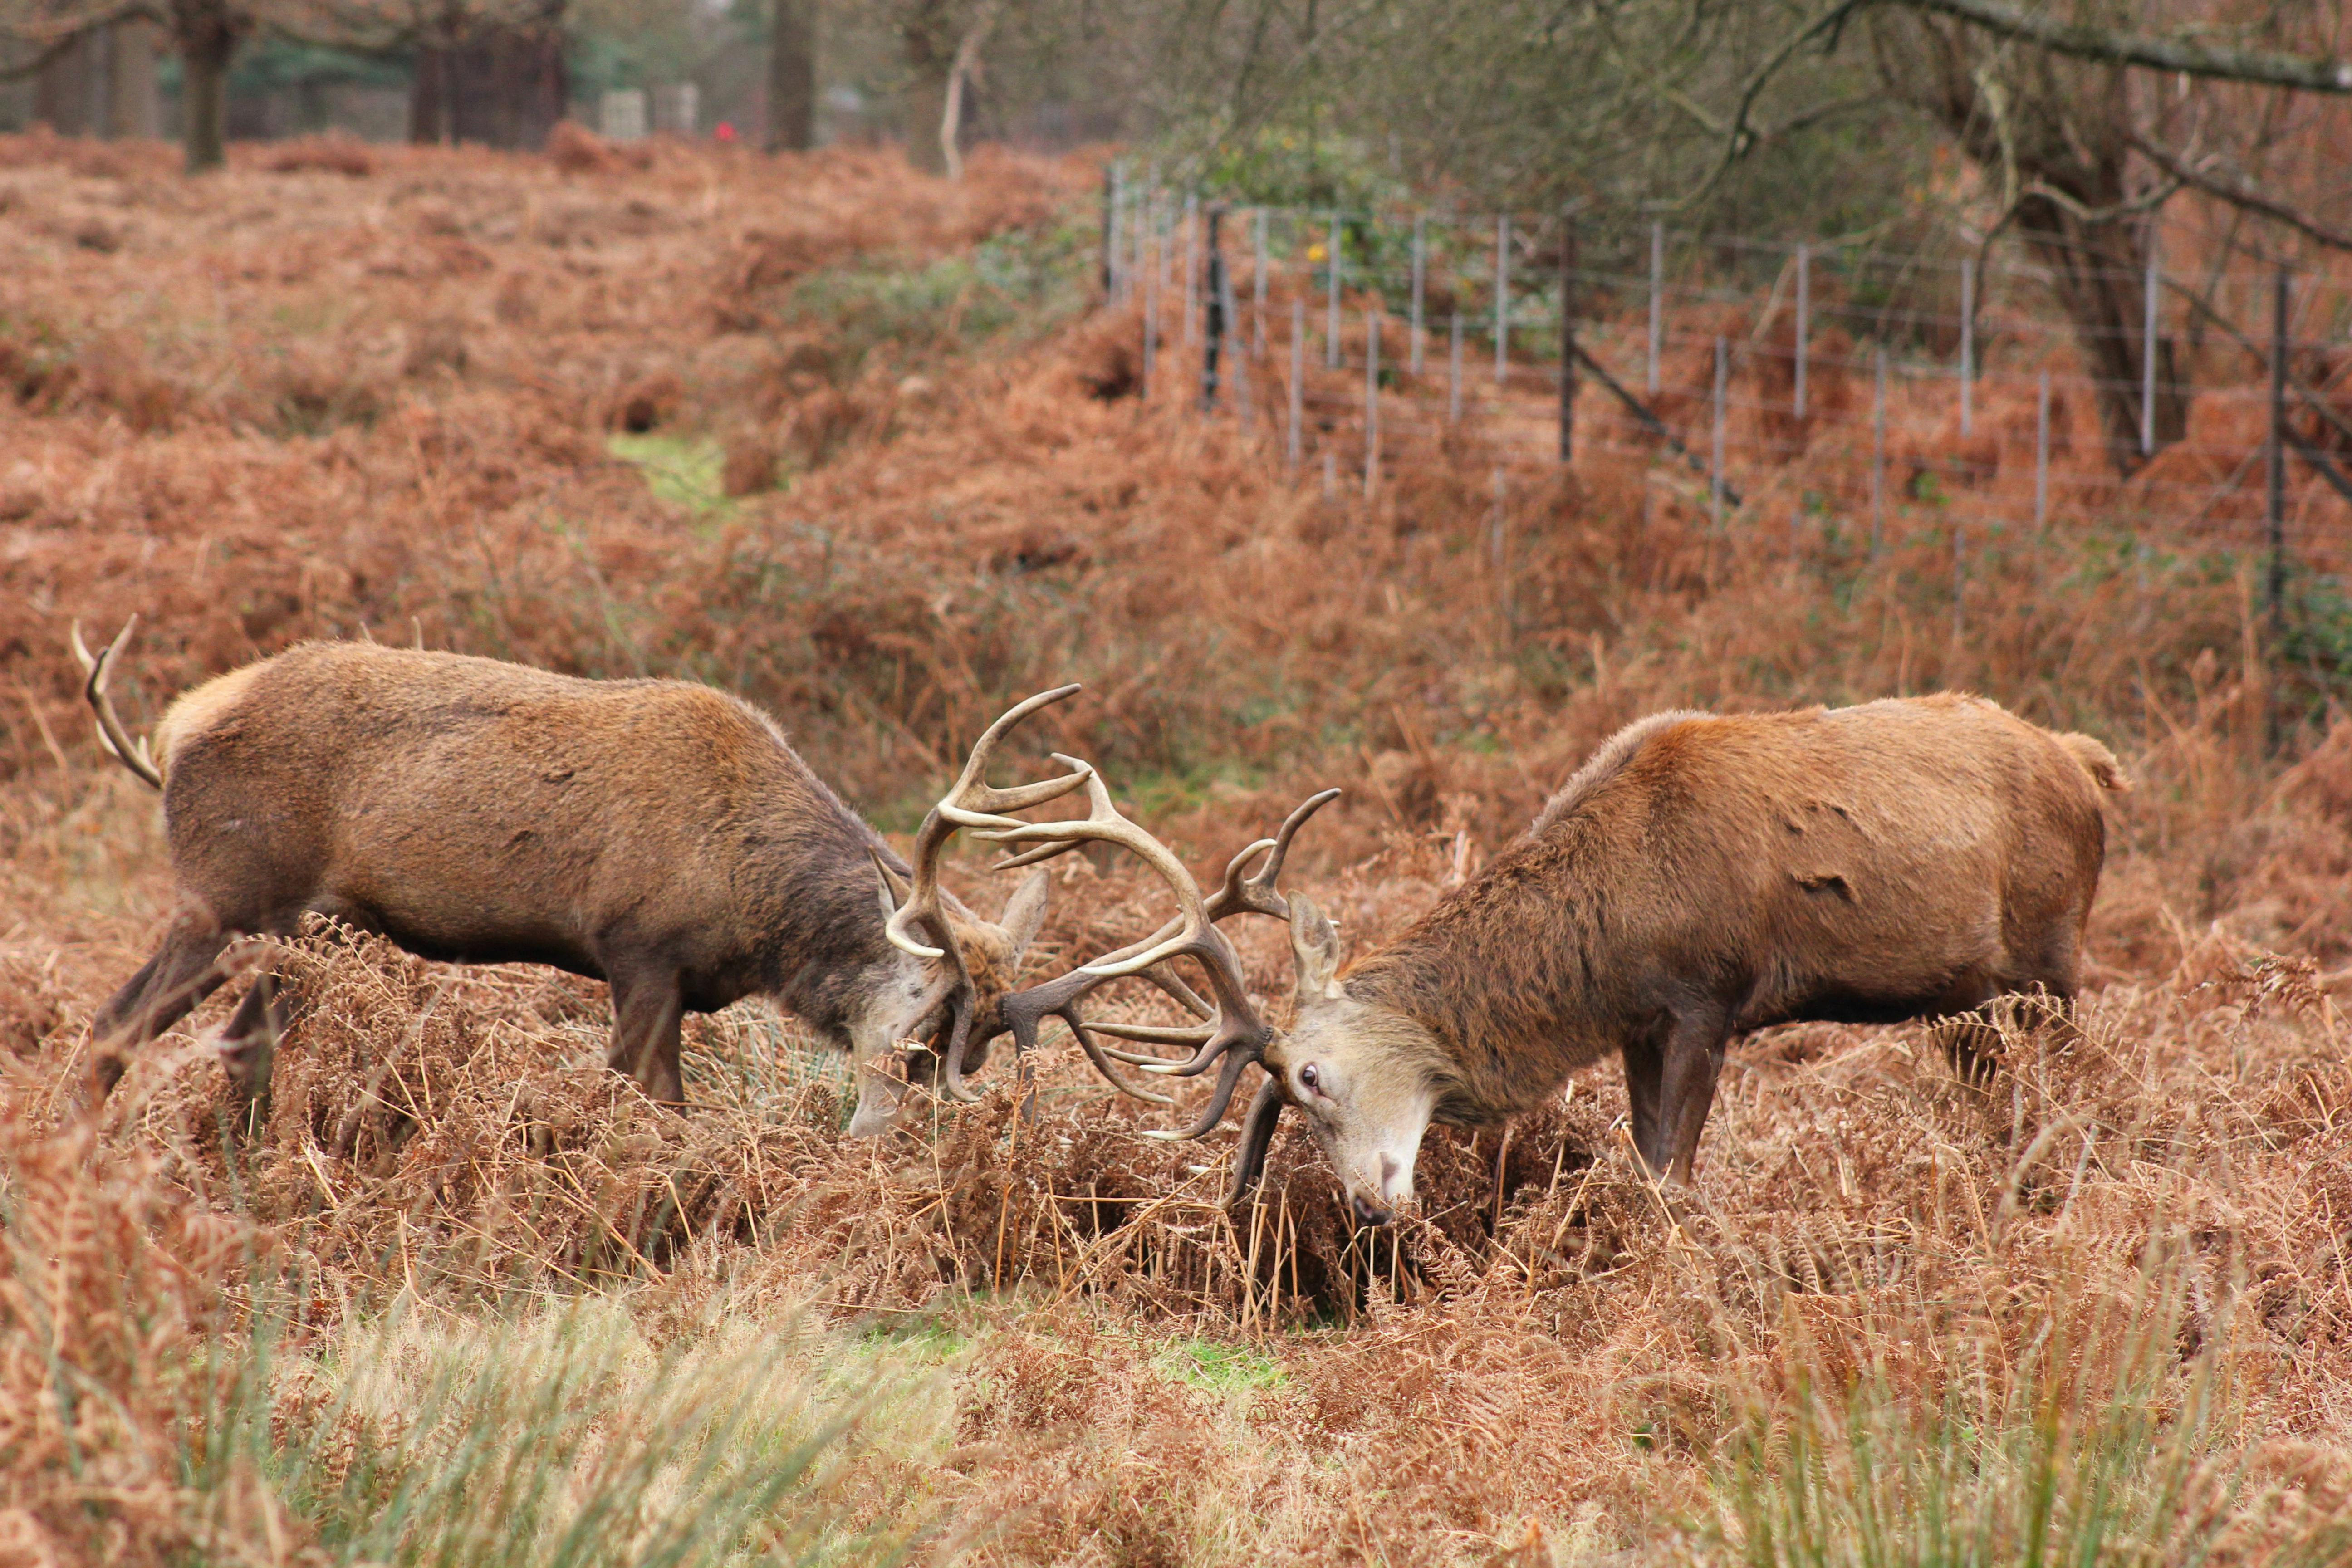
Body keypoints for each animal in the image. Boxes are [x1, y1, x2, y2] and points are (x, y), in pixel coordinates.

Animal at [70, 617, 1093, 1132]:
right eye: (926, 1025)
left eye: (984, 1044)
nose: (884, 1131)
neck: (753, 912)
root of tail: (174, 726)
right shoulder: (637, 947)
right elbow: (656, 1106)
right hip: (227, 894)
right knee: (114, 1022)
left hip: (321, 929)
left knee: (242, 1047)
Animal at [1001, 694, 2130, 1226]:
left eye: (1311, 1076)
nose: (1369, 1205)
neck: (1607, 940)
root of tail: (2089, 765)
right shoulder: (1638, 1023)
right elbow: (1646, 1157)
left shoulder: (1707, 995)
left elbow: (1674, 1175)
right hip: (1974, 1001)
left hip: (2054, 957)